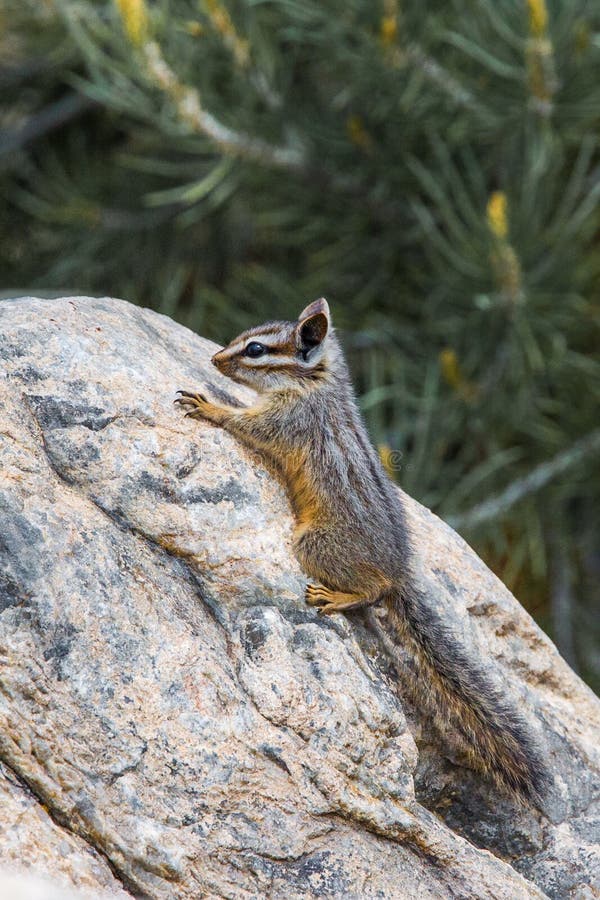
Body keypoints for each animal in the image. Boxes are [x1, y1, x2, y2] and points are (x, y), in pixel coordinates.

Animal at [176, 298, 549, 804]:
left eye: (255, 349)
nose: (215, 360)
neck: (312, 385)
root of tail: (400, 571)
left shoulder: (285, 422)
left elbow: (245, 424)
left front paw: (208, 405)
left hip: (314, 543)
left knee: (372, 592)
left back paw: (337, 597)